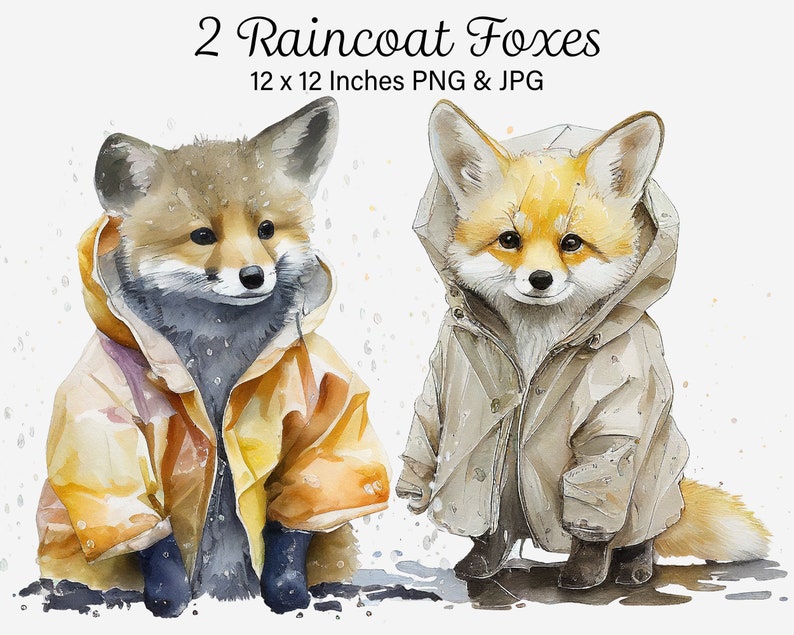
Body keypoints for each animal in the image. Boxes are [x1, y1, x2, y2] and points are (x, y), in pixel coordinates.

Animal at [35, 97, 390, 617]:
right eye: (202, 236)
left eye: (266, 229)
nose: (253, 275)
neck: (216, 357)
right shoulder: (101, 418)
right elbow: (146, 528)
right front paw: (170, 596)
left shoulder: (325, 409)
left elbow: (300, 511)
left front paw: (286, 587)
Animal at [396, 100, 770, 591]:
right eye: (509, 240)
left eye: (571, 243)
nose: (540, 280)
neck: (535, 348)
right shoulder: (453, 381)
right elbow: (434, 433)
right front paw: (473, 548)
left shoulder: (611, 420)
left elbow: (592, 506)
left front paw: (585, 570)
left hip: (650, 486)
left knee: (640, 533)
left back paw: (635, 566)